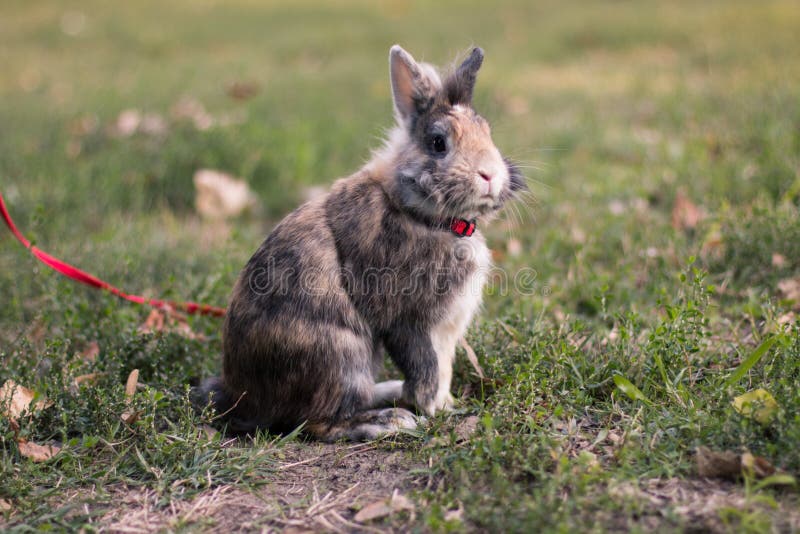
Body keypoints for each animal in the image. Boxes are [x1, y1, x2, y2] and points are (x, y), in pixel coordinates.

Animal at [193, 45, 526, 441]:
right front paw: (434, 411)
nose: (489, 174)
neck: (418, 213)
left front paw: (446, 405)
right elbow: (428, 370)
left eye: (487, 132)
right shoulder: (408, 320)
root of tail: (241, 398)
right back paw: (390, 420)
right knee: (319, 423)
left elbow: (441, 371)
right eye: (438, 143)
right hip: (342, 355)